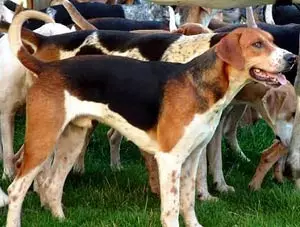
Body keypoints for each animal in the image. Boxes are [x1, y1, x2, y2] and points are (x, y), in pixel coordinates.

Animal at [5, 10, 296, 227]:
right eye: (256, 44)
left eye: (272, 40)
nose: (292, 58)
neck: (202, 85)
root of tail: (47, 66)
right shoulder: (170, 159)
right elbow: (171, 209)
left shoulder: (192, 157)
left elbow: (189, 201)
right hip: (43, 141)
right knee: (17, 188)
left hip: (72, 140)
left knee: (53, 184)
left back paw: (60, 219)